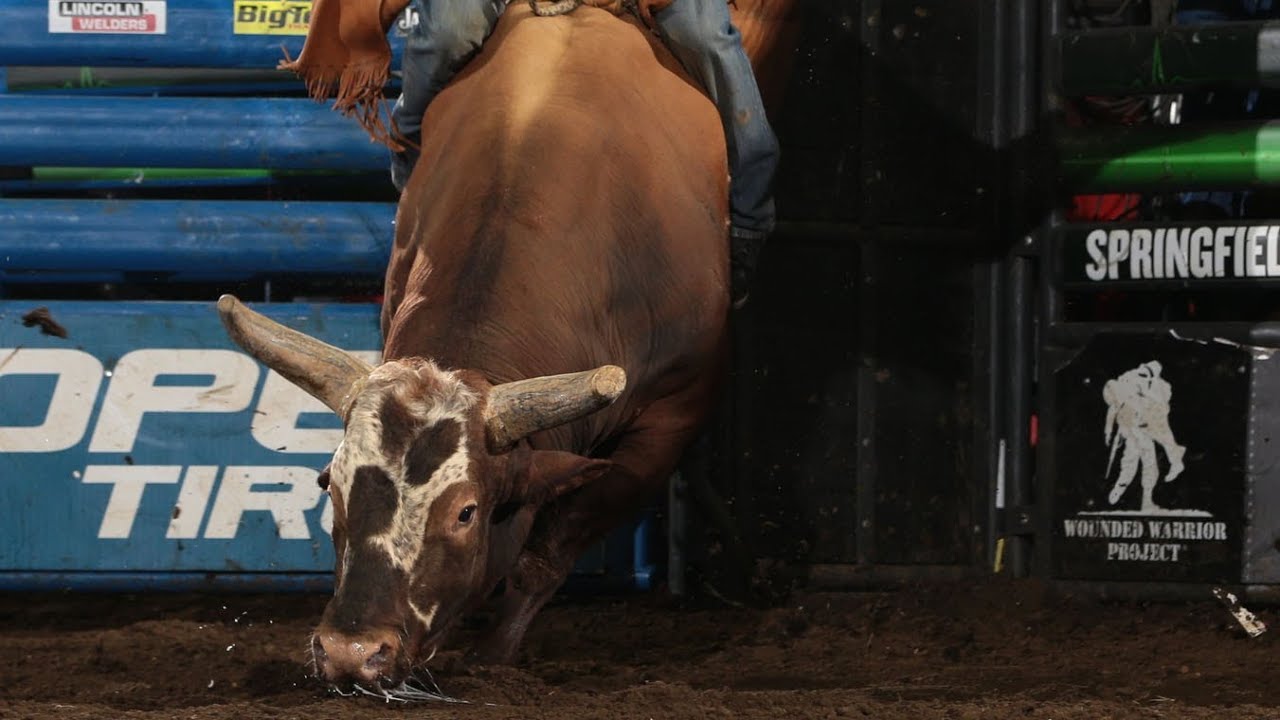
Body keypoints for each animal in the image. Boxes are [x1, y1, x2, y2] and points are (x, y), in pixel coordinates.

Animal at [217, 0, 798, 695]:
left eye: (466, 512)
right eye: (331, 485)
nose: (353, 652)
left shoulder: (669, 418)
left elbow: (547, 550)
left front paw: (494, 652)